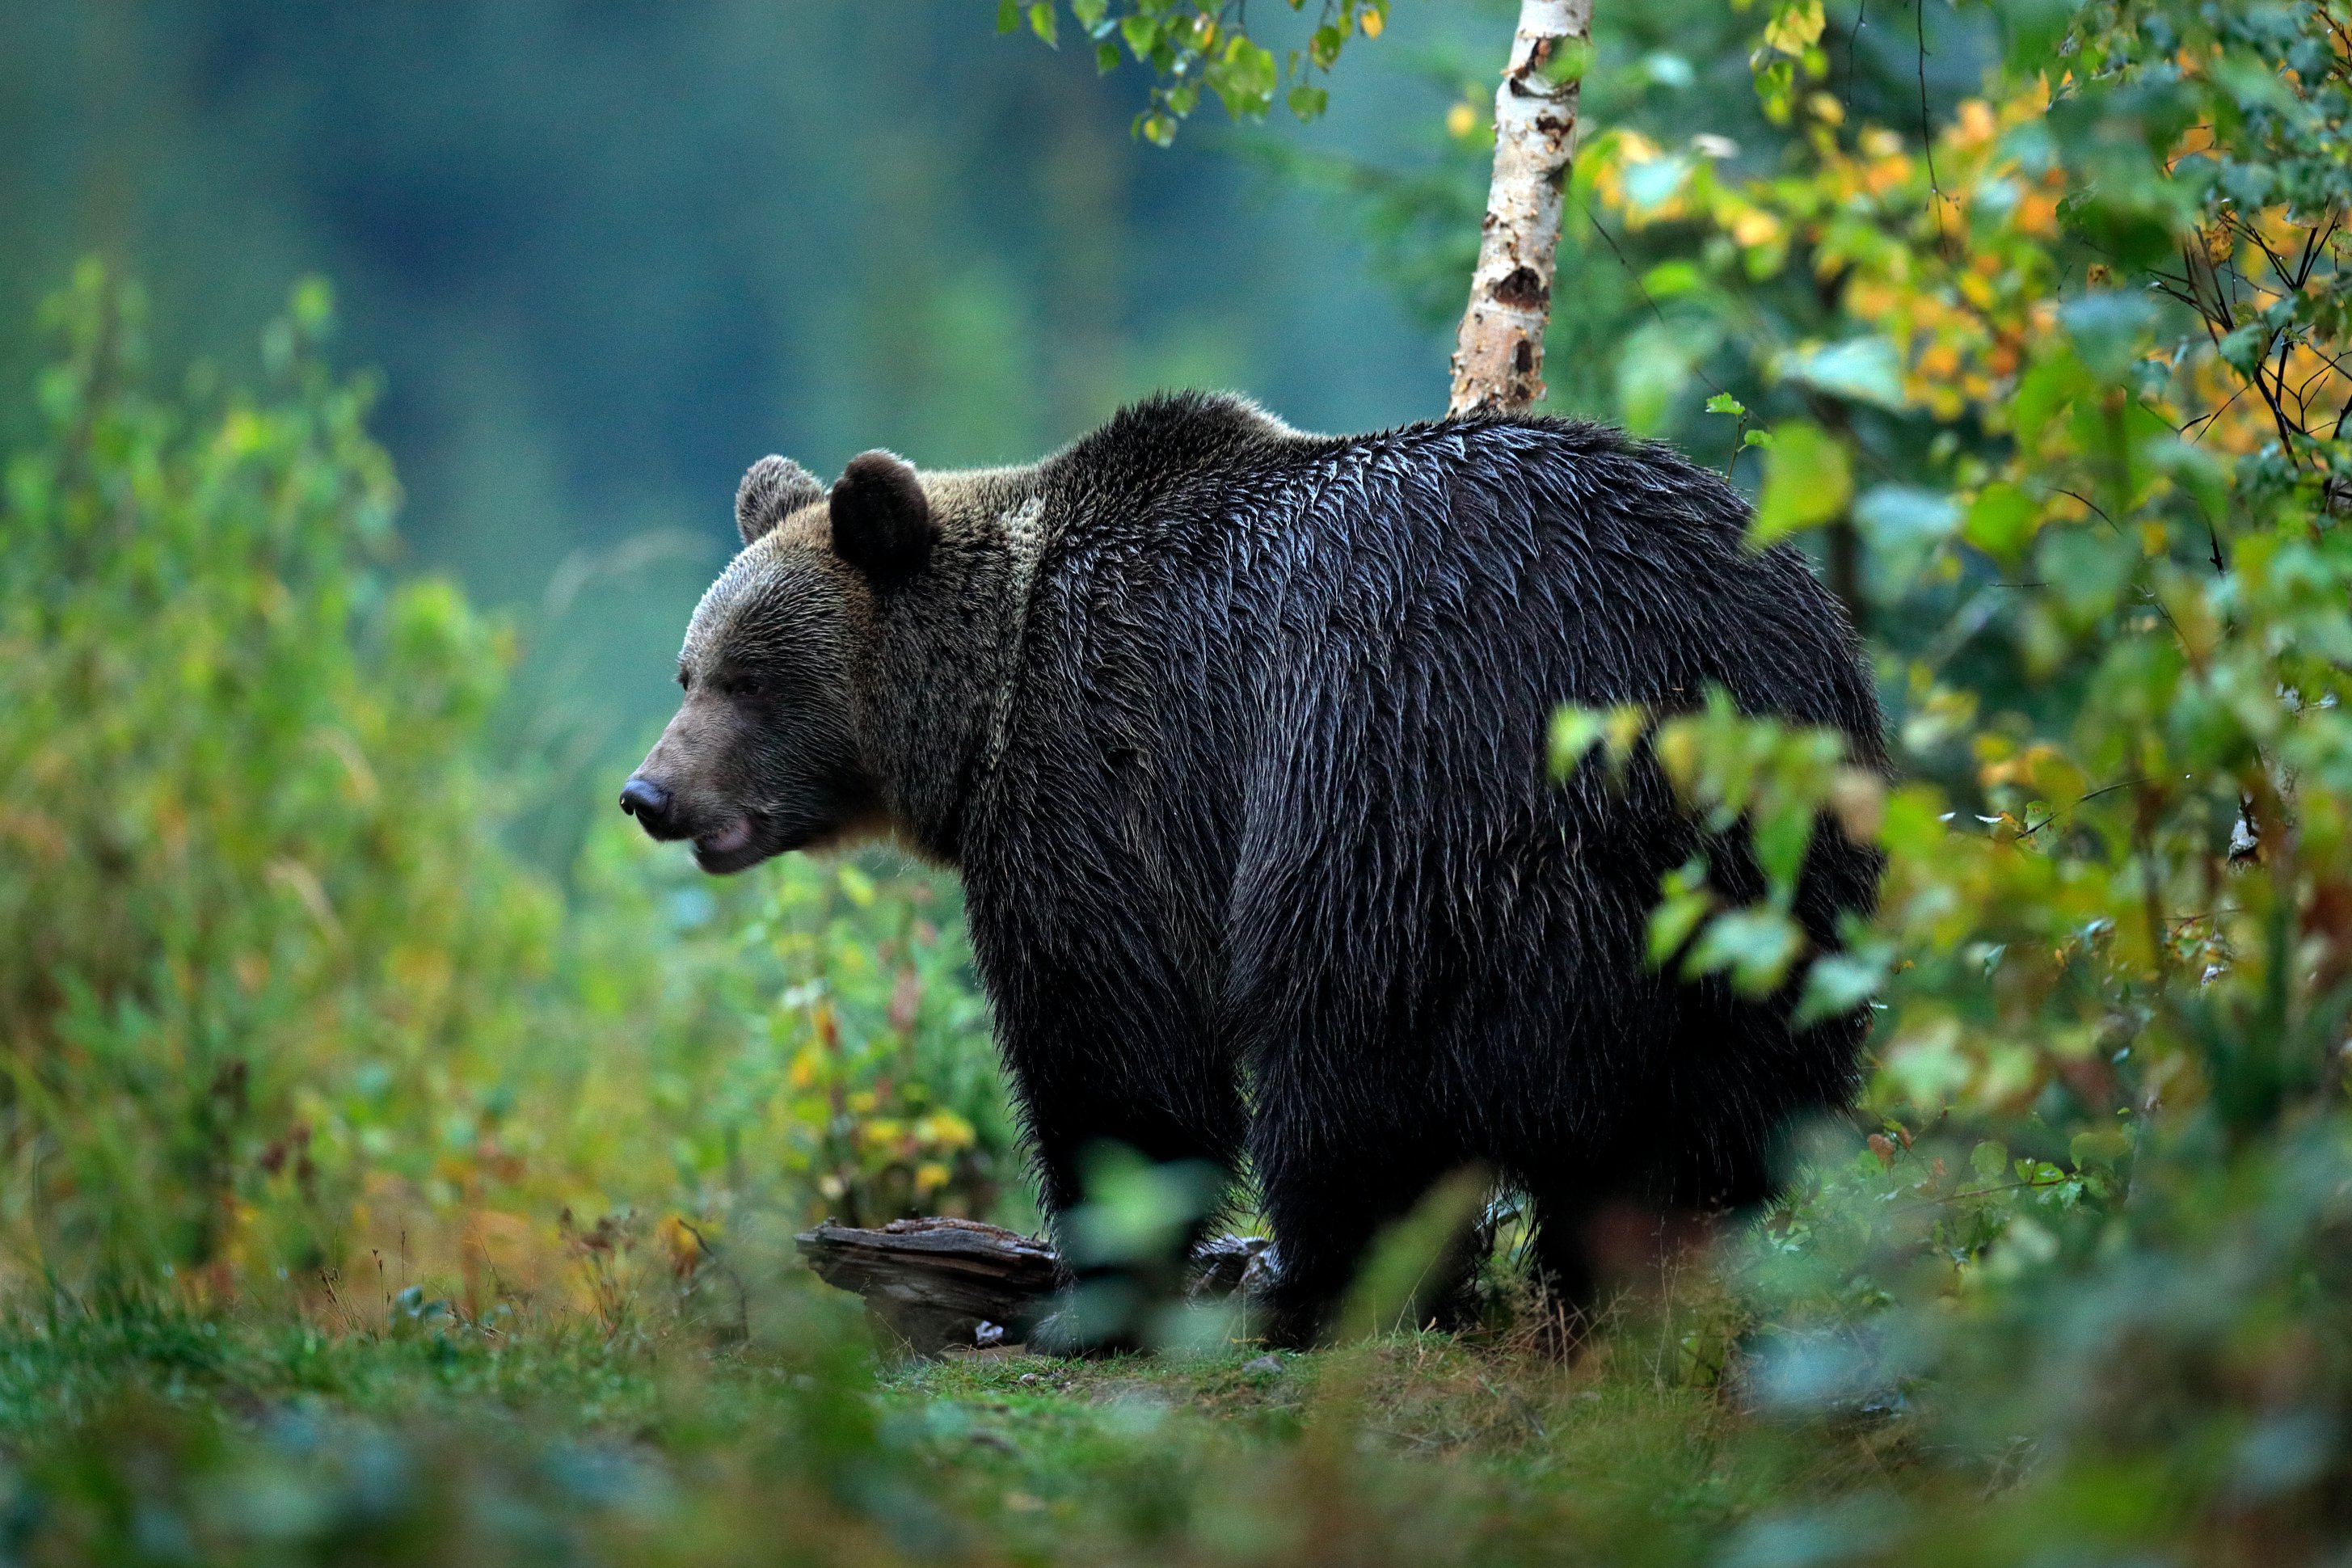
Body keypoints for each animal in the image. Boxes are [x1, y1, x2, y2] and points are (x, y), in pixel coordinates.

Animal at [620, 392, 1884, 1346]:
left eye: (749, 679)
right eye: (691, 670)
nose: (650, 794)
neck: (985, 702)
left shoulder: (1097, 771)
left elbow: (1118, 1050)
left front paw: (1072, 1299)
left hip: (1399, 778)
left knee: (1352, 1059)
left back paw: (1315, 1288)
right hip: (1782, 876)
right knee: (1725, 1114)